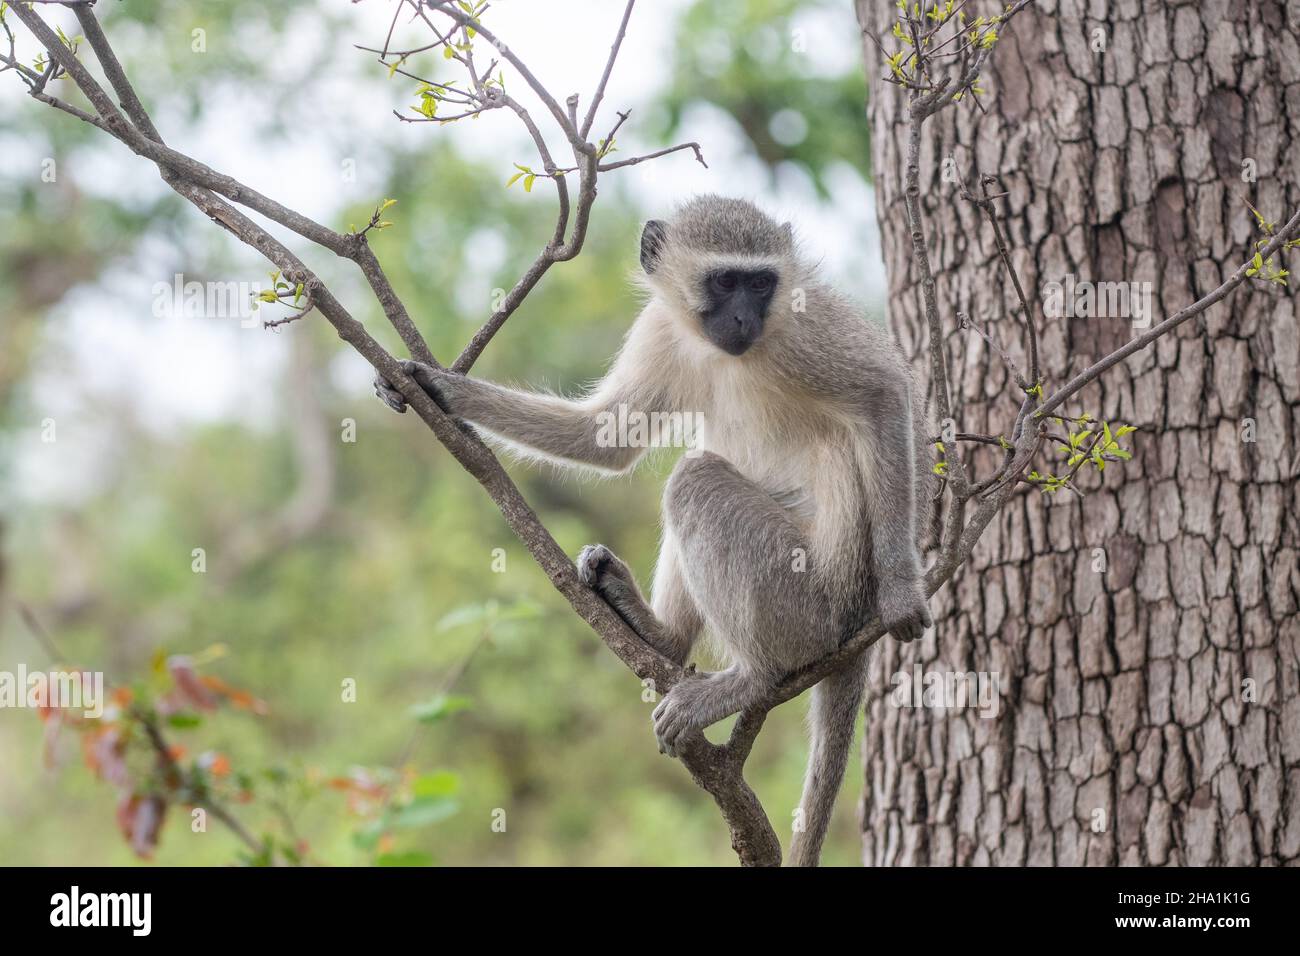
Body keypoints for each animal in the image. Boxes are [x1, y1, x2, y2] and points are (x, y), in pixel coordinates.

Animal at [374, 195, 934, 866]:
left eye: (760, 283)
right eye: (724, 281)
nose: (744, 317)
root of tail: (854, 627)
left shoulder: (807, 328)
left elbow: (887, 394)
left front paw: (902, 591)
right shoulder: (659, 329)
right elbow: (604, 436)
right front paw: (435, 385)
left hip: (810, 602)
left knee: (694, 481)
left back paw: (754, 676)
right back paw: (661, 636)